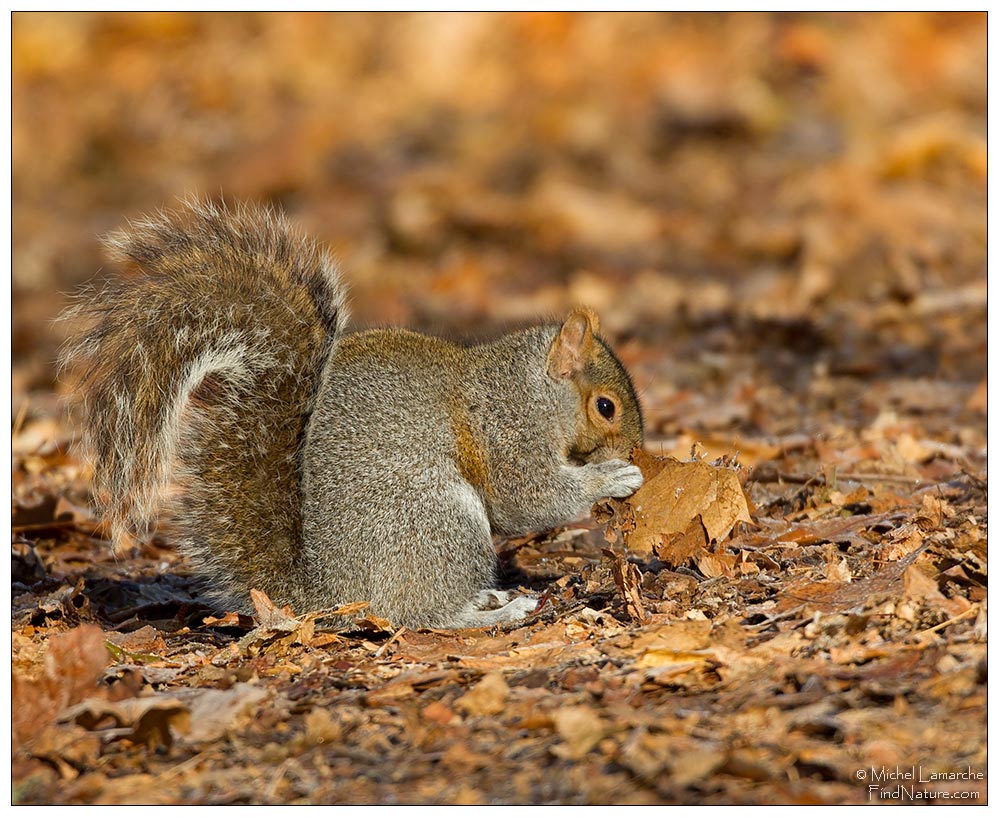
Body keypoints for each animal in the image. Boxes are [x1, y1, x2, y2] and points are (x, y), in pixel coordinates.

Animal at [60, 200, 645, 629]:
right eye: (606, 407)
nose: (637, 450)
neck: (528, 389)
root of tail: (329, 594)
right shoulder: (505, 433)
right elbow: (528, 499)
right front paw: (612, 477)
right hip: (437, 520)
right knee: (423, 614)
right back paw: (494, 611)